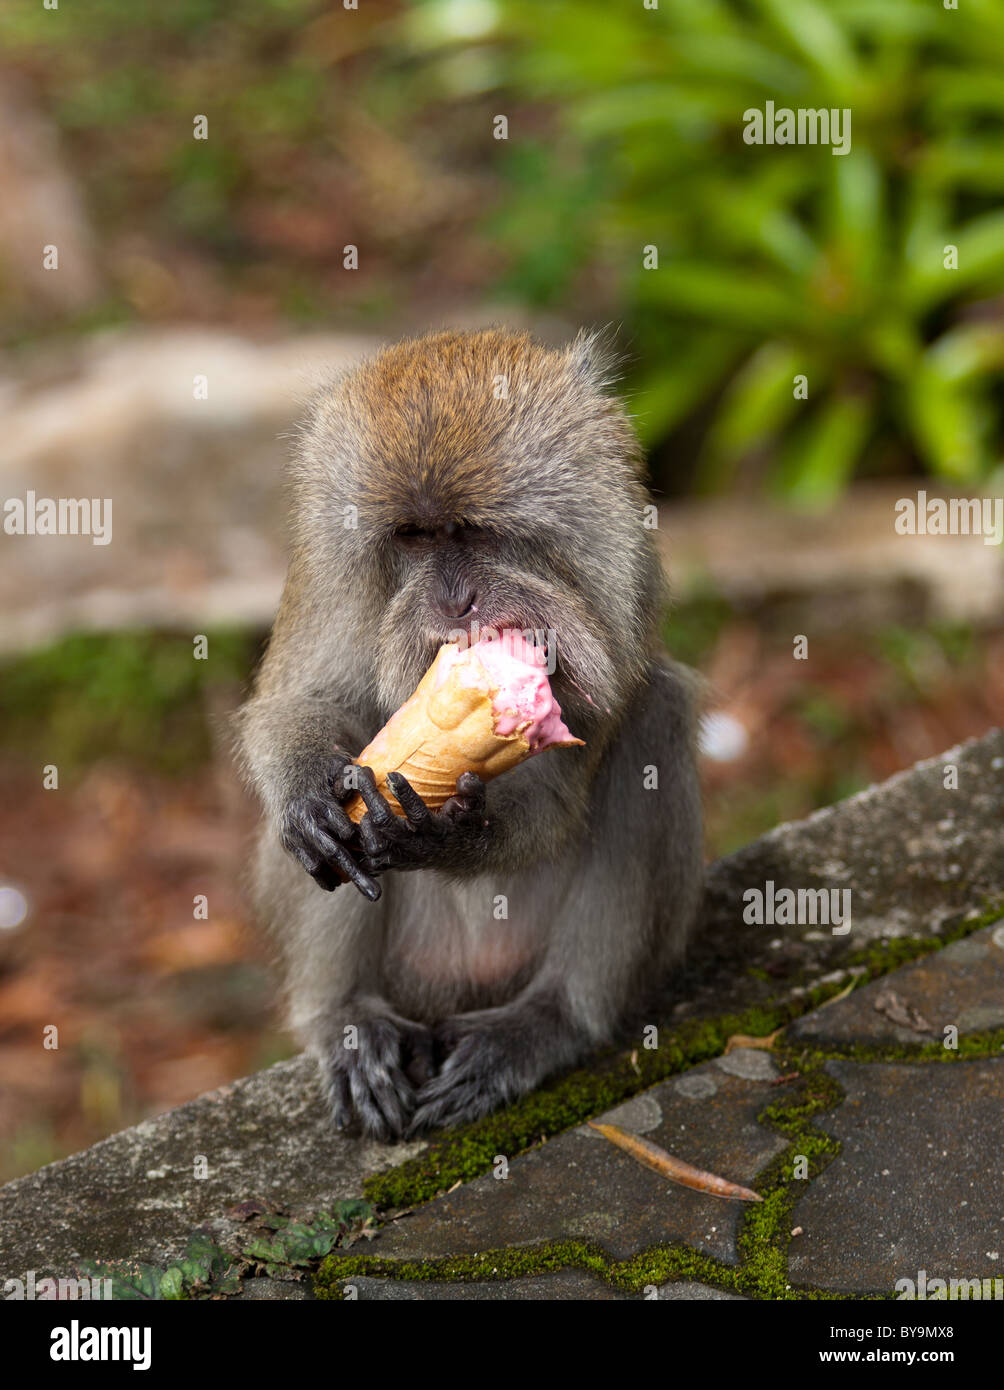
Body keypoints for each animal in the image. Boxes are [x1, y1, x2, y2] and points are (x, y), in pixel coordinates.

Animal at [236, 326, 703, 1142]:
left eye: (474, 529)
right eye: (415, 537)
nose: (457, 602)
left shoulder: (619, 572)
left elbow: (561, 797)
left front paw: (448, 834)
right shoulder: (329, 576)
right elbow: (299, 703)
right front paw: (309, 798)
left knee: (657, 719)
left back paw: (550, 1020)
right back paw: (347, 1021)